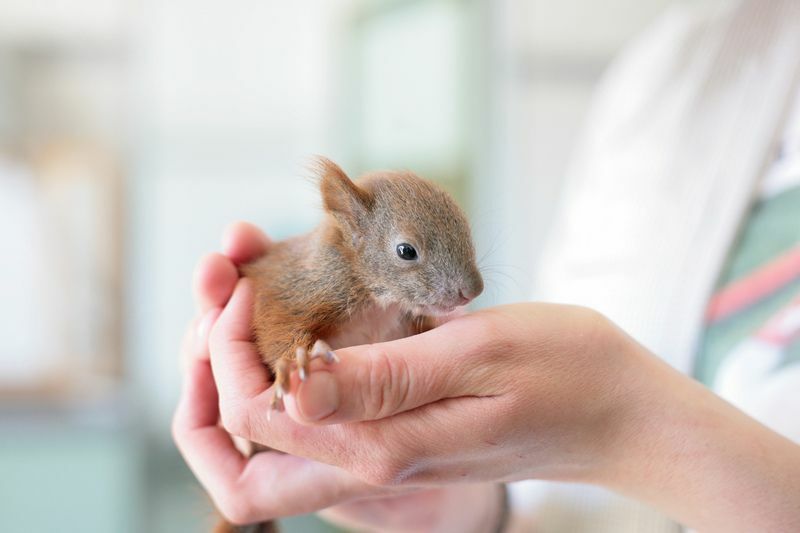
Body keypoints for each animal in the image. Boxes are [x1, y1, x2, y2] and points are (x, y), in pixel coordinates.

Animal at [214, 157, 482, 532]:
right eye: (406, 251)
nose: (473, 290)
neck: (378, 304)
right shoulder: (293, 289)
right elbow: (275, 326)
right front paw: (296, 359)